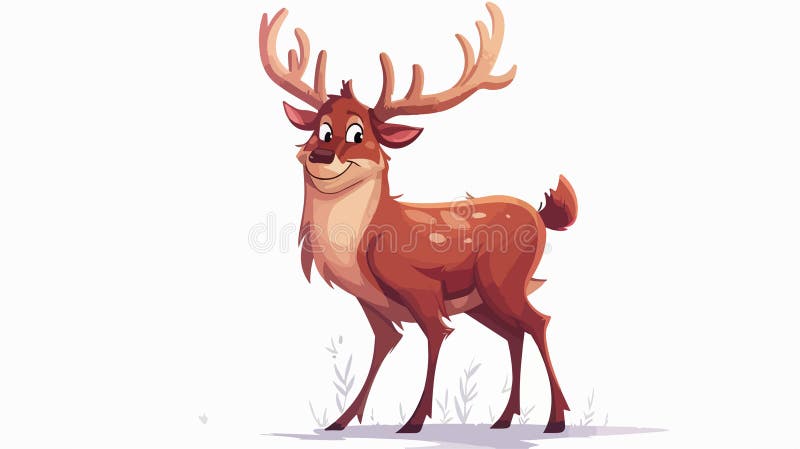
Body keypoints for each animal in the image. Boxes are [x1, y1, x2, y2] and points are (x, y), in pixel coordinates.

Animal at [259, 2, 577, 434]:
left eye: (358, 134)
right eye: (321, 130)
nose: (321, 156)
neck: (361, 244)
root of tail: (540, 216)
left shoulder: (419, 287)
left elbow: (437, 335)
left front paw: (413, 420)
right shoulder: (371, 302)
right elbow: (384, 344)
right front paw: (341, 419)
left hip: (503, 280)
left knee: (538, 322)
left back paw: (556, 419)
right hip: (482, 301)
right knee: (515, 333)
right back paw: (504, 418)